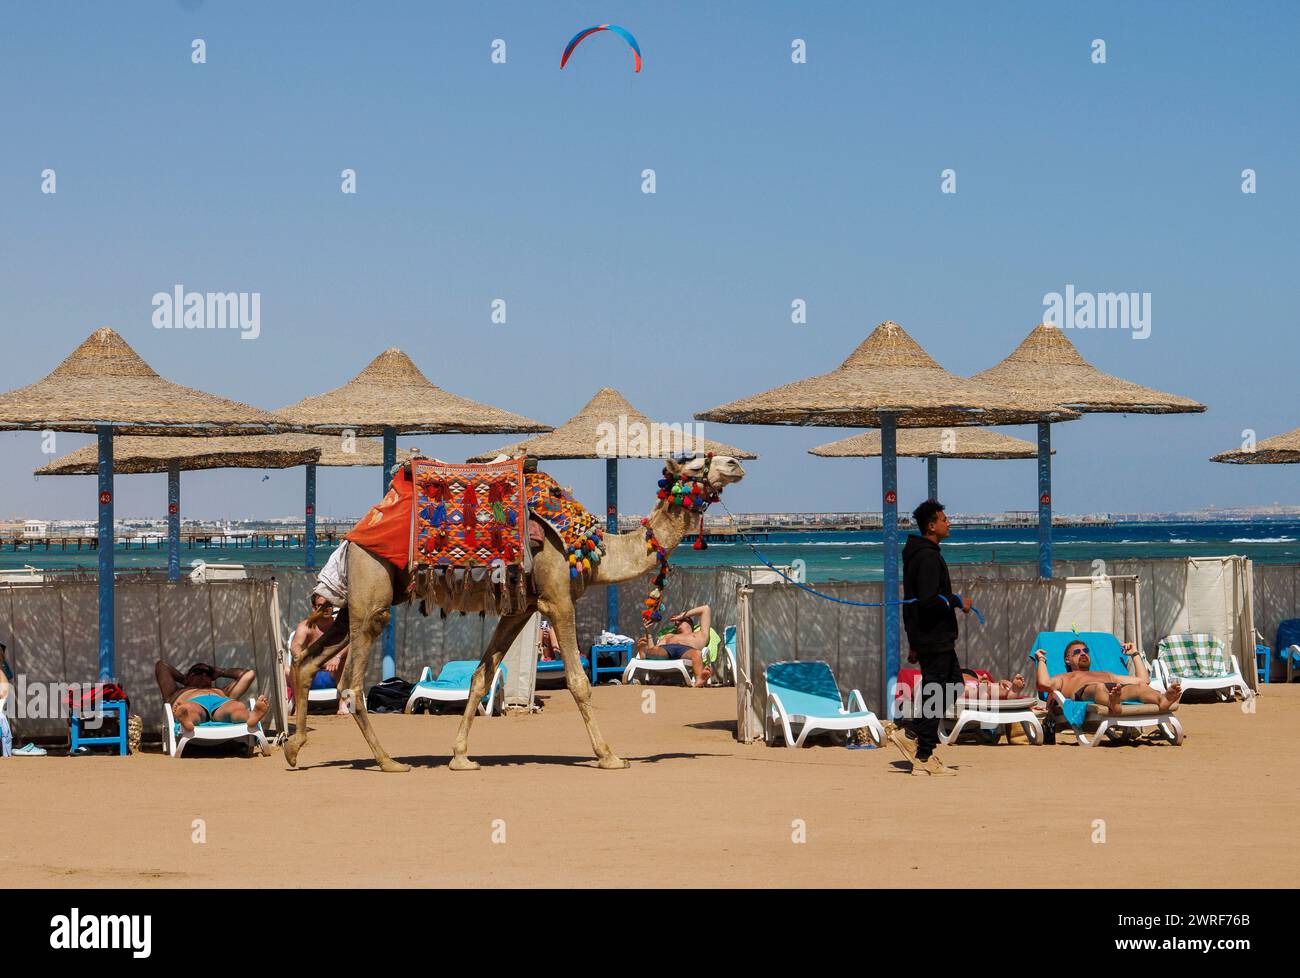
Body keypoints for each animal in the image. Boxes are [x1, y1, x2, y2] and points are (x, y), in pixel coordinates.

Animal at [282, 454, 745, 772]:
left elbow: (481, 675)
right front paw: (610, 755)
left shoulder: (520, 609)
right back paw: (388, 761)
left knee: (307, 662)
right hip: (372, 591)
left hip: (356, 605)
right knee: (351, 684)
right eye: (696, 465)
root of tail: (349, 537)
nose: (736, 462)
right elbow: (579, 682)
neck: (593, 549)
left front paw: (460, 756)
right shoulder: (558, 598)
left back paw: (293, 747)